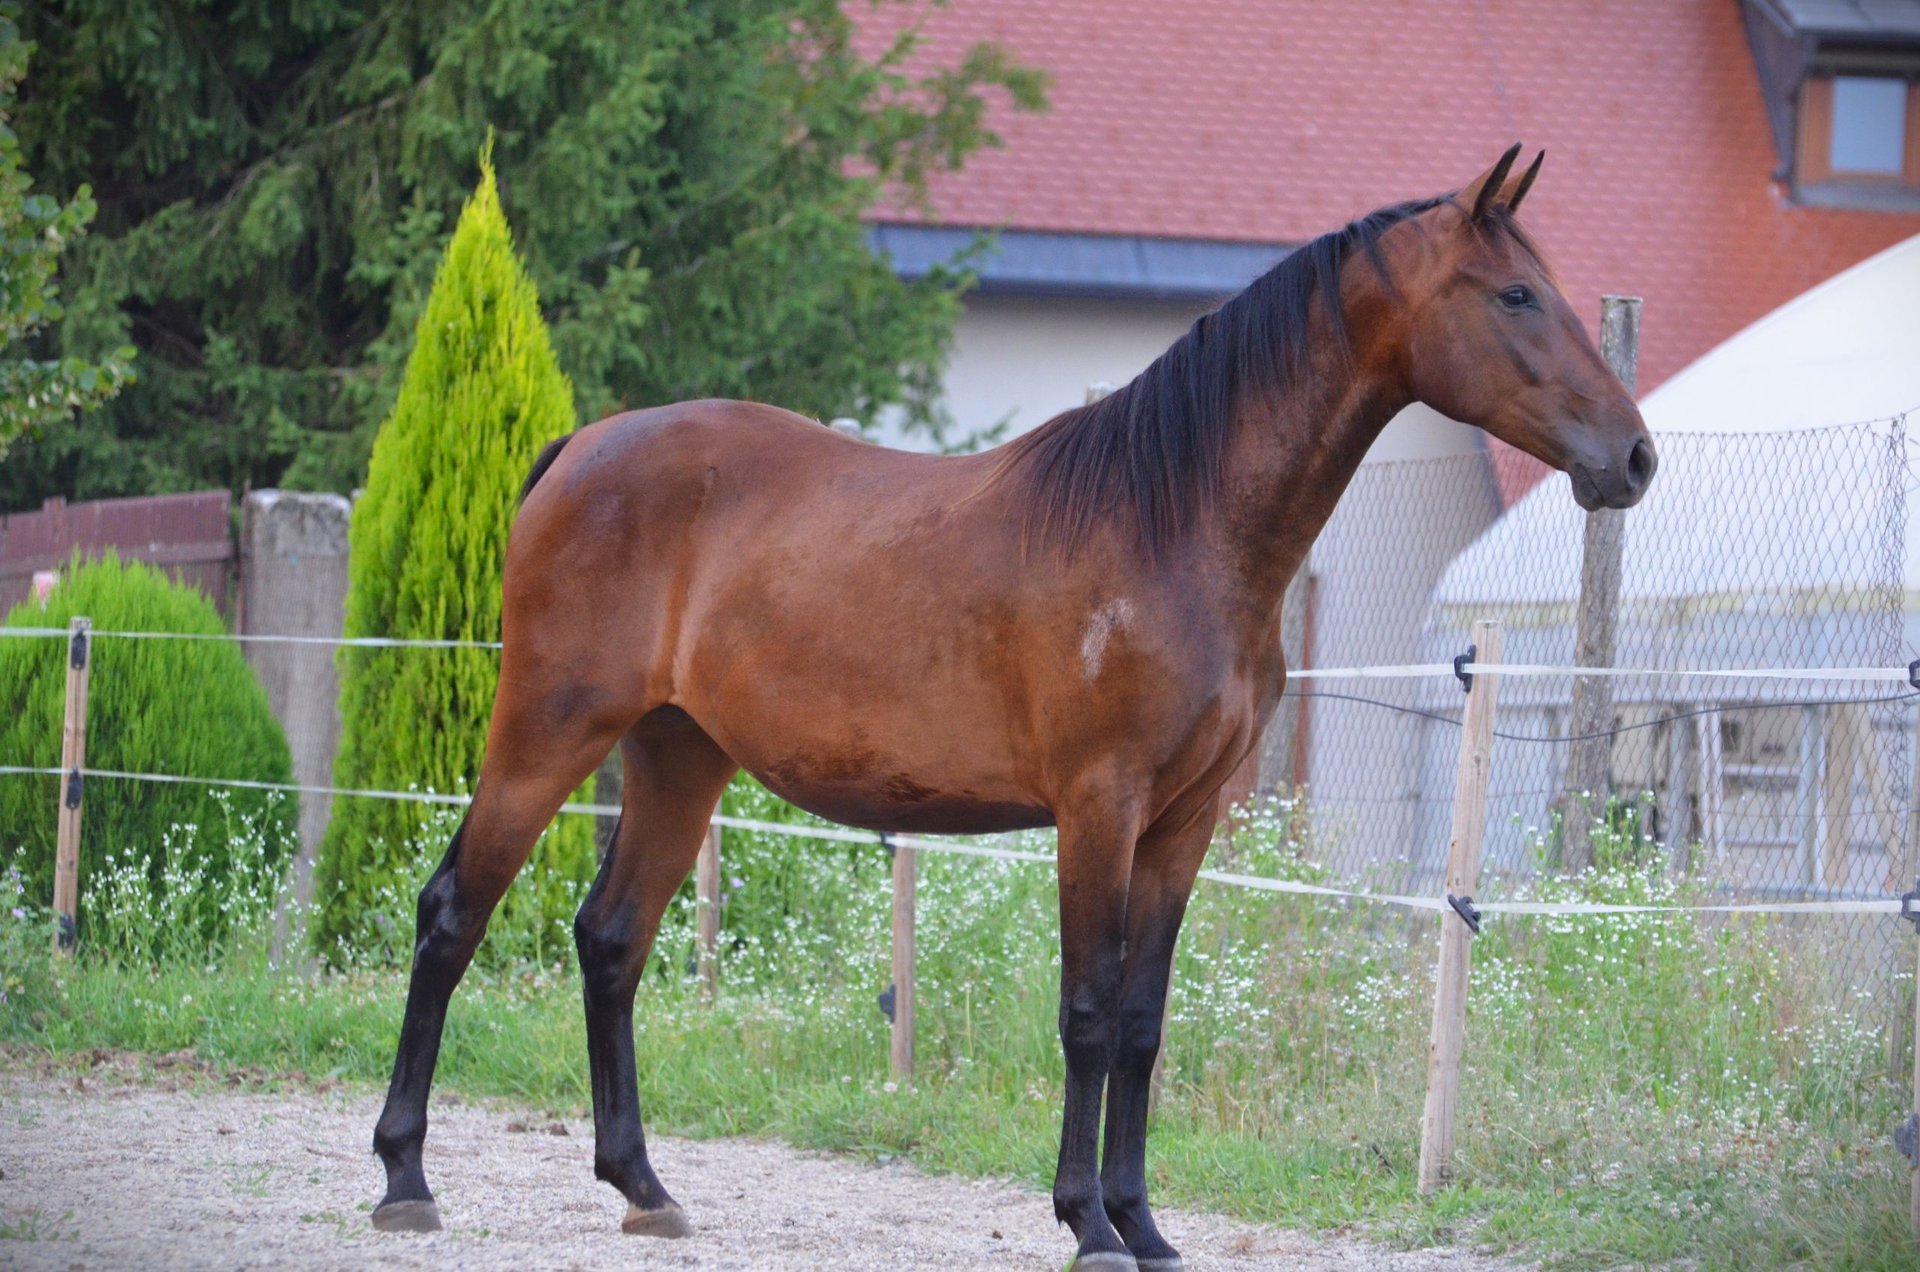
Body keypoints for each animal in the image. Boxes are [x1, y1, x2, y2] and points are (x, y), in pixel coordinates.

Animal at [366, 144, 1654, 1270]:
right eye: (1516, 293)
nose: (1633, 459)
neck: (1174, 525)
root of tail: (578, 449)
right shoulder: (1099, 808)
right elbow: (1086, 1011)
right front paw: (1086, 1223)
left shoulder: (1183, 824)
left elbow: (1142, 1023)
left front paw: (1145, 1224)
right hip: (547, 731)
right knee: (451, 916)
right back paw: (405, 1180)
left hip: (678, 757)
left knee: (612, 940)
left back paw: (642, 1185)